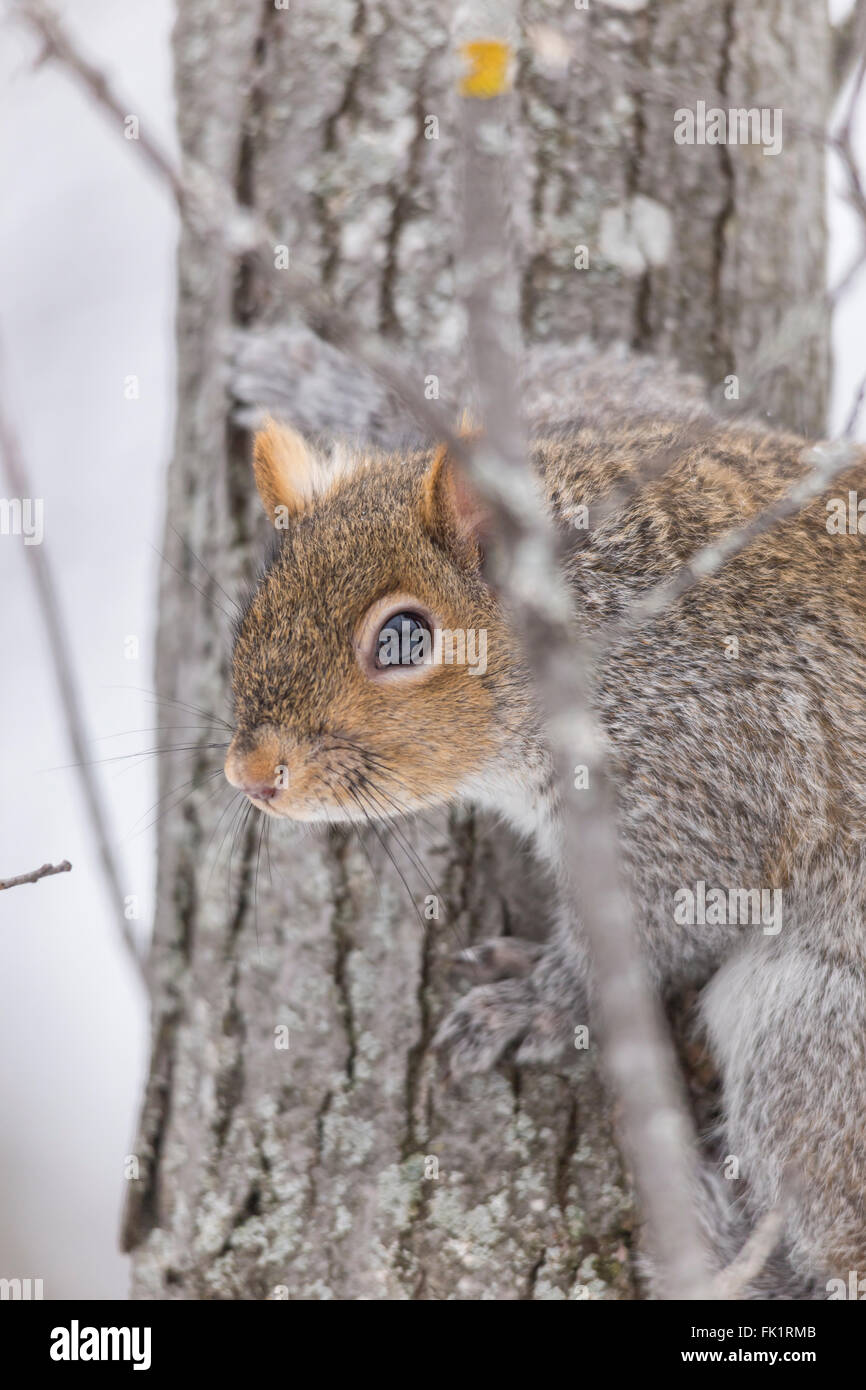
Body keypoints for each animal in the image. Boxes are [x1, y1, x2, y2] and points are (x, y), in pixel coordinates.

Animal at [224, 402, 866, 1297]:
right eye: (254, 611)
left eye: (403, 639)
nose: (249, 775)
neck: (593, 621)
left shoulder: (704, 785)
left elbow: (650, 933)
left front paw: (535, 1001)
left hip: (812, 1026)